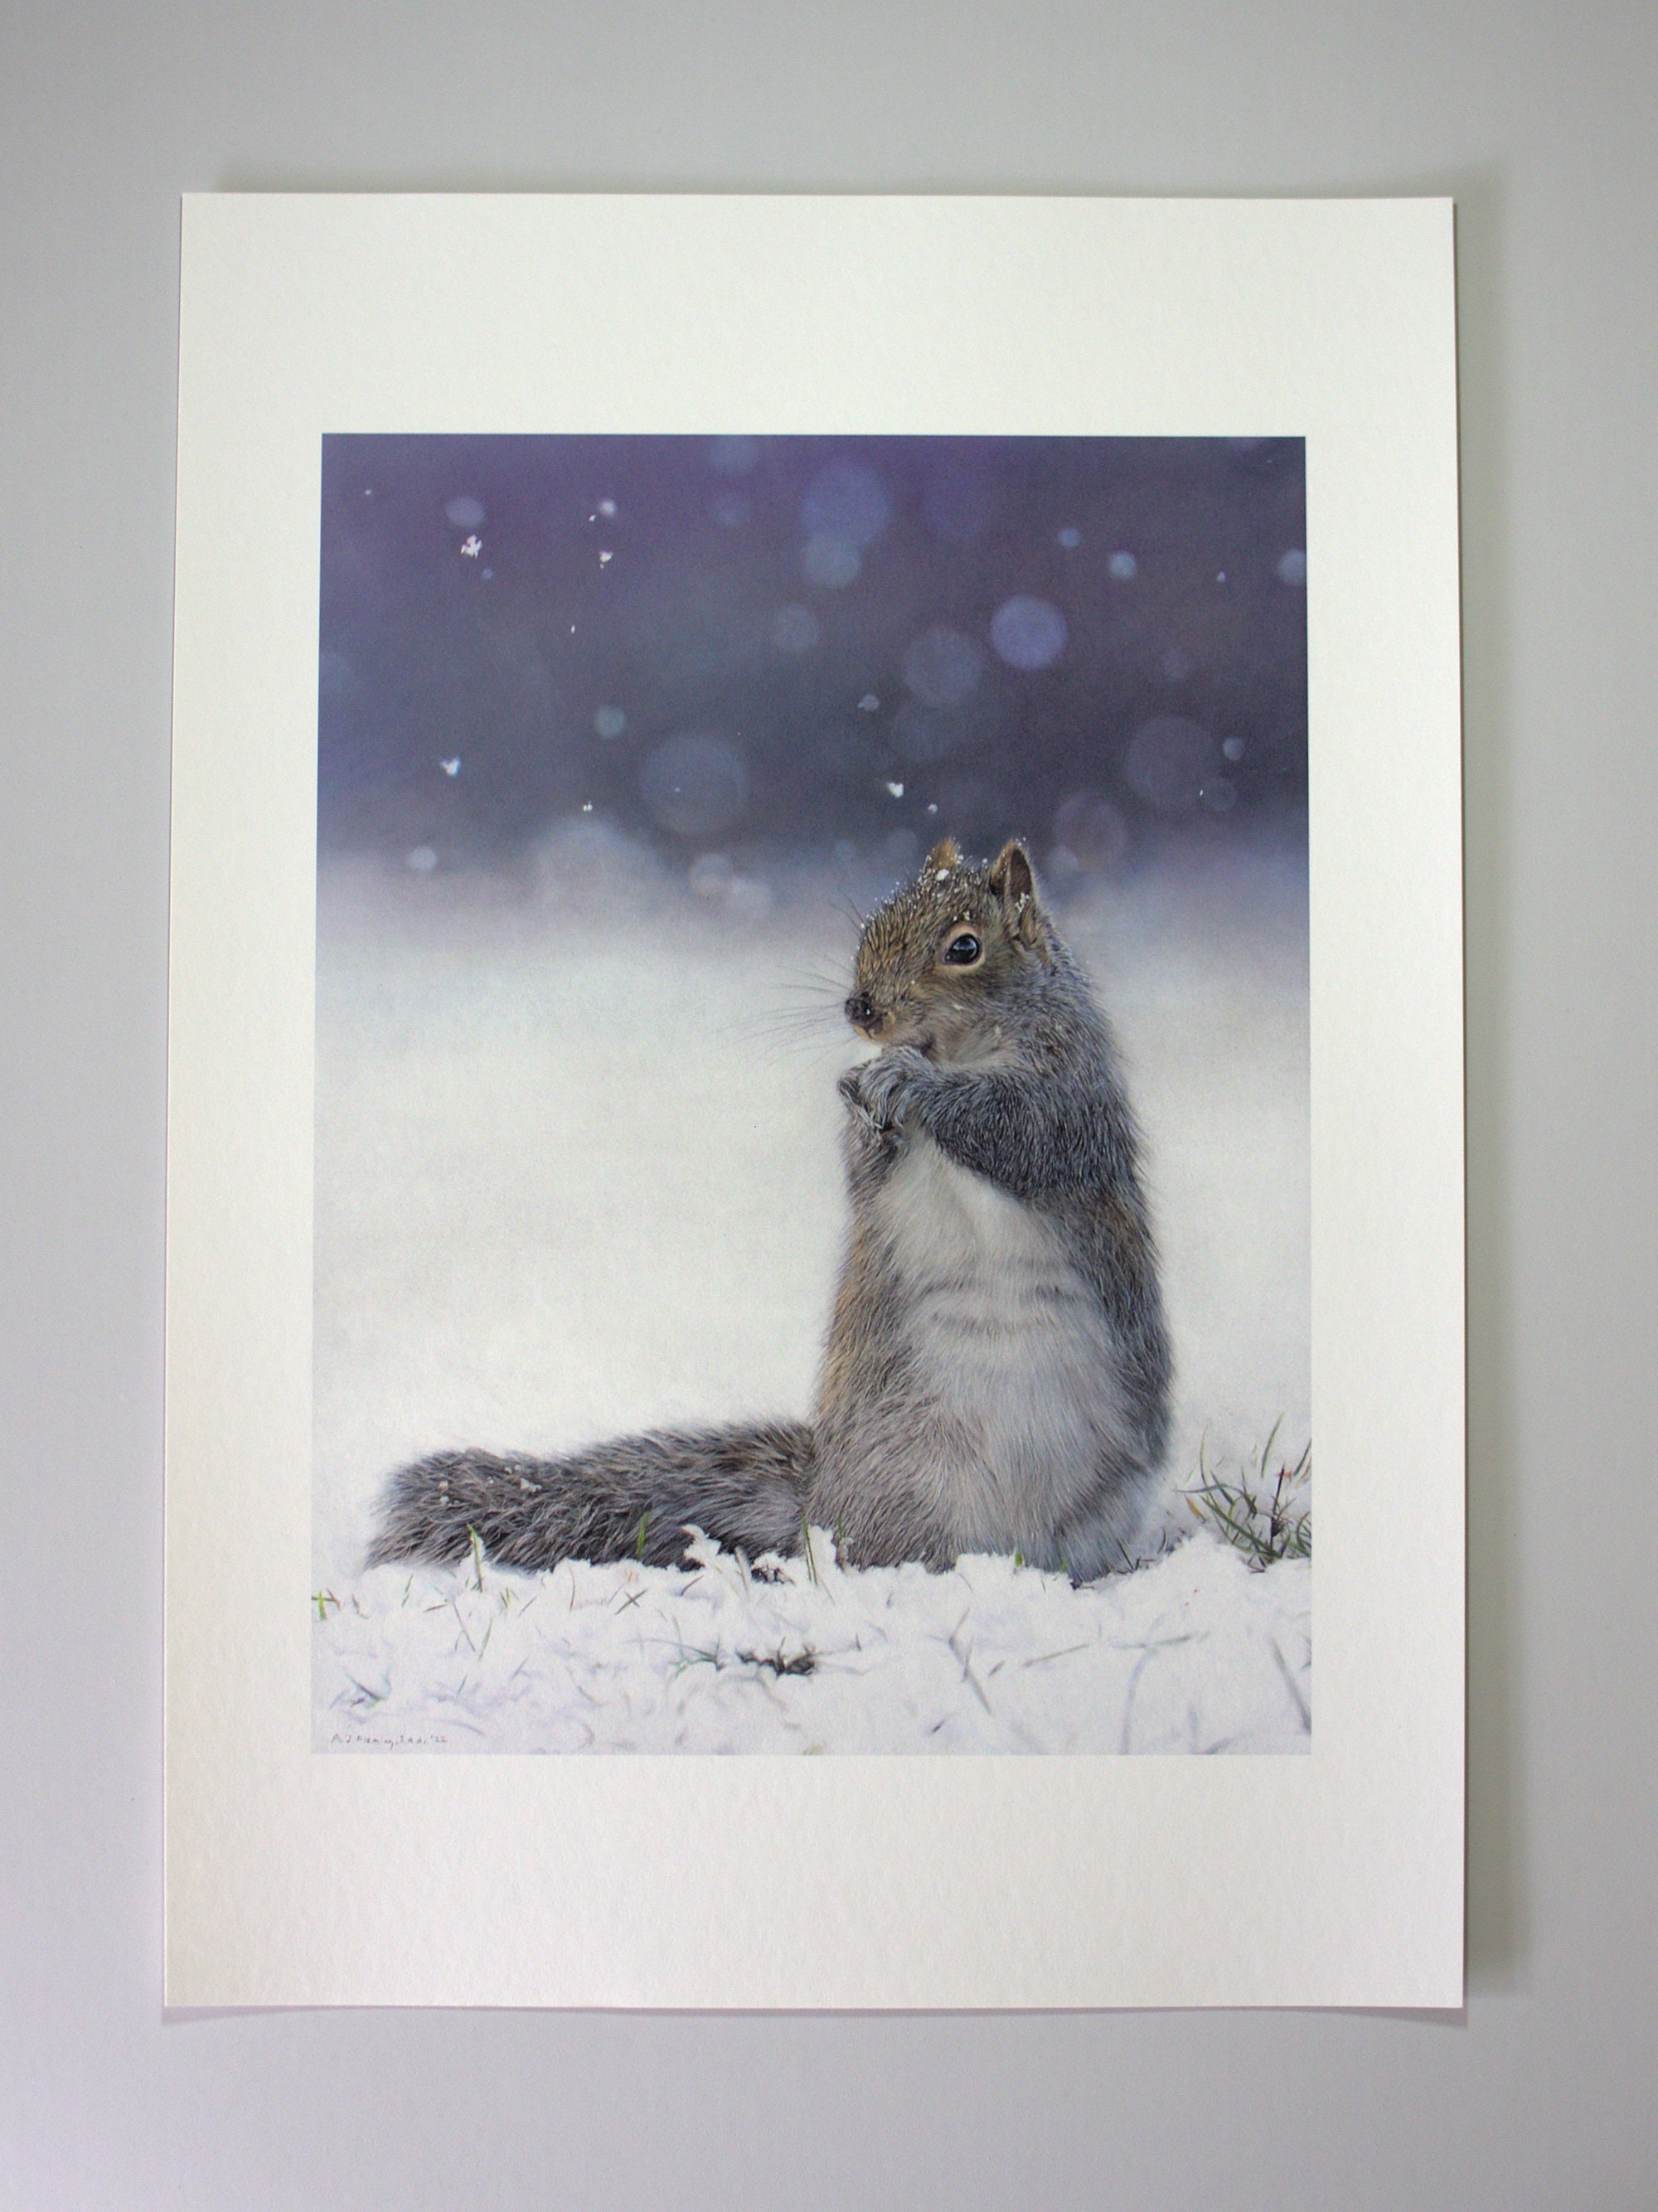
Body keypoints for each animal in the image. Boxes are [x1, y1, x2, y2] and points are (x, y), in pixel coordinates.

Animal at [368, 837, 1171, 1582]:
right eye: (872, 925)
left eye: (965, 948)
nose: (861, 1010)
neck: (956, 1047)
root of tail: (816, 1502)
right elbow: (866, 1172)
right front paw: (859, 1096)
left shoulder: (1075, 1091)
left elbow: (1024, 1130)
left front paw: (911, 1081)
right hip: (910, 1483)